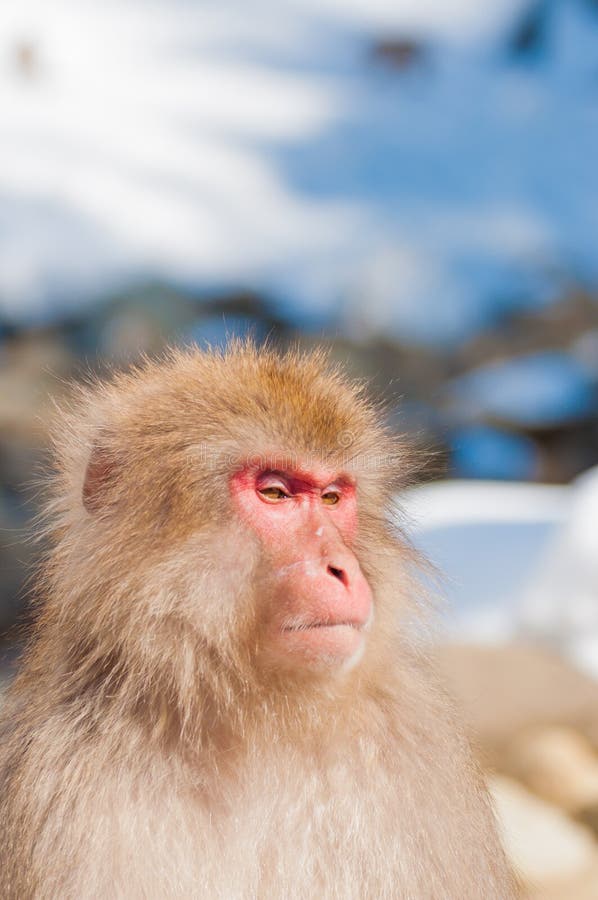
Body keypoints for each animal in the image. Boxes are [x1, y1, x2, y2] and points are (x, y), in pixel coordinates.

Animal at [0, 343, 517, 899]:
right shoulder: (63, 778)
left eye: (332, 497)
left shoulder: (417, 747)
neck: (257, 719)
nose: (342, 568)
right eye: (274, 493)